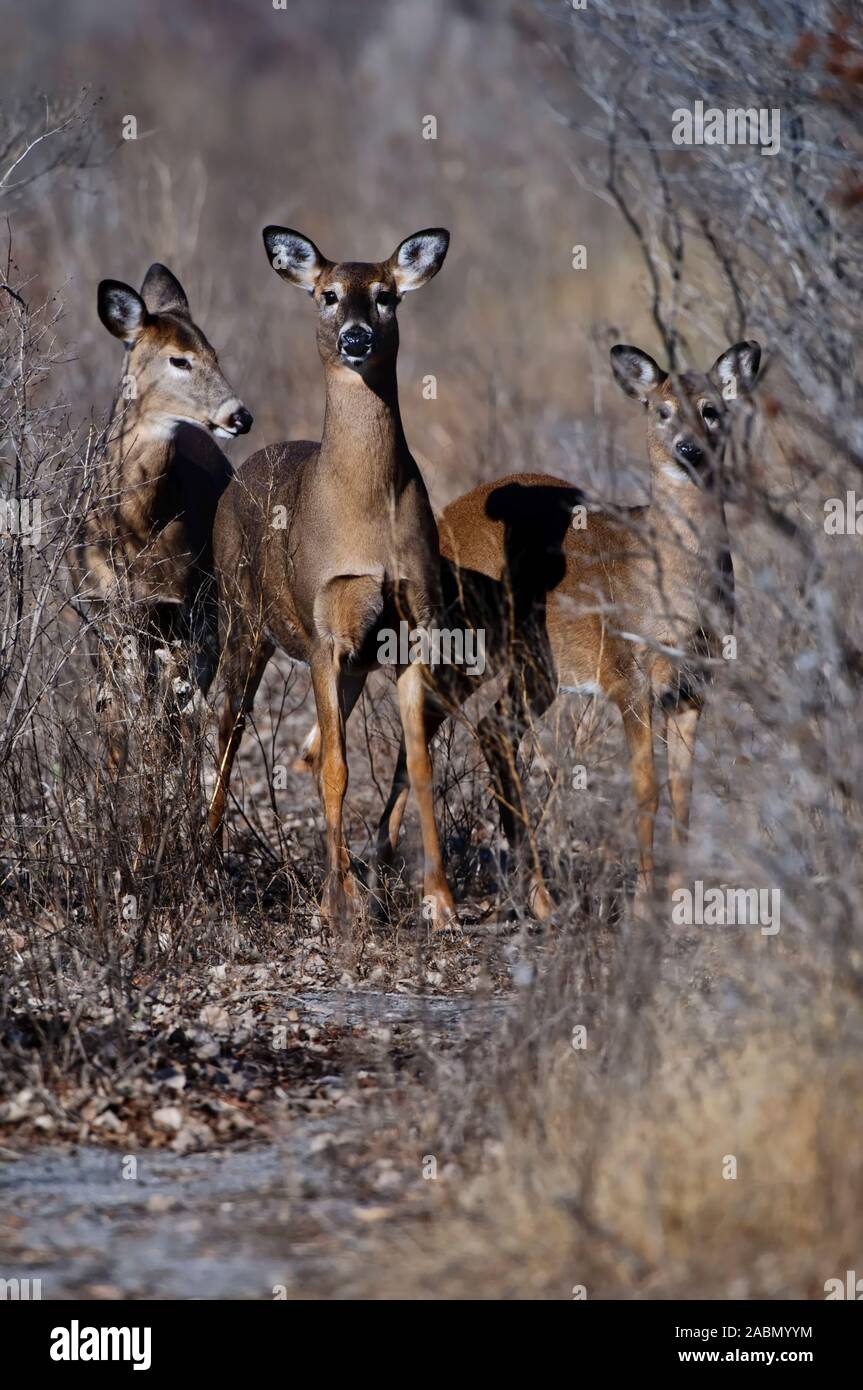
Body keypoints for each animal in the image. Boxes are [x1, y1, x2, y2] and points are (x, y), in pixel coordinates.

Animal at [75, 263, 253, 776]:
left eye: (215, 354)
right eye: (179, 360)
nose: (240, 416)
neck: (135, 524)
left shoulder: (179, 609)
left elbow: (165, 731)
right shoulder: (100, 611)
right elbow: (116, 726)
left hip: (213, 609)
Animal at [207, 225, 457, 928]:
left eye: (386, 295)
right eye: (327, 294)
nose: (356, 336)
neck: (363, 513)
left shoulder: (412, 628)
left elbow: (417, 764)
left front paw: (439, 901)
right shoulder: (323, 633)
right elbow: (339, 773)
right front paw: (337, 905)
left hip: (348, 663)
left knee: (310, 744)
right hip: (243, 619)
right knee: (227, 727)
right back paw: (203, 861)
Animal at [300, 340, 762, 919]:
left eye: (711, 410)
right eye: (662, 410)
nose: (689, 450)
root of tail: (441, 522)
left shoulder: (693, 687)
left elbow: (684, 793)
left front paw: (681, 899)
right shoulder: (628, 676)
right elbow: (646, 790)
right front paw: (643, 902)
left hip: (524, 666)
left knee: (473, 729)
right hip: (471, 645)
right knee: (453, 727)